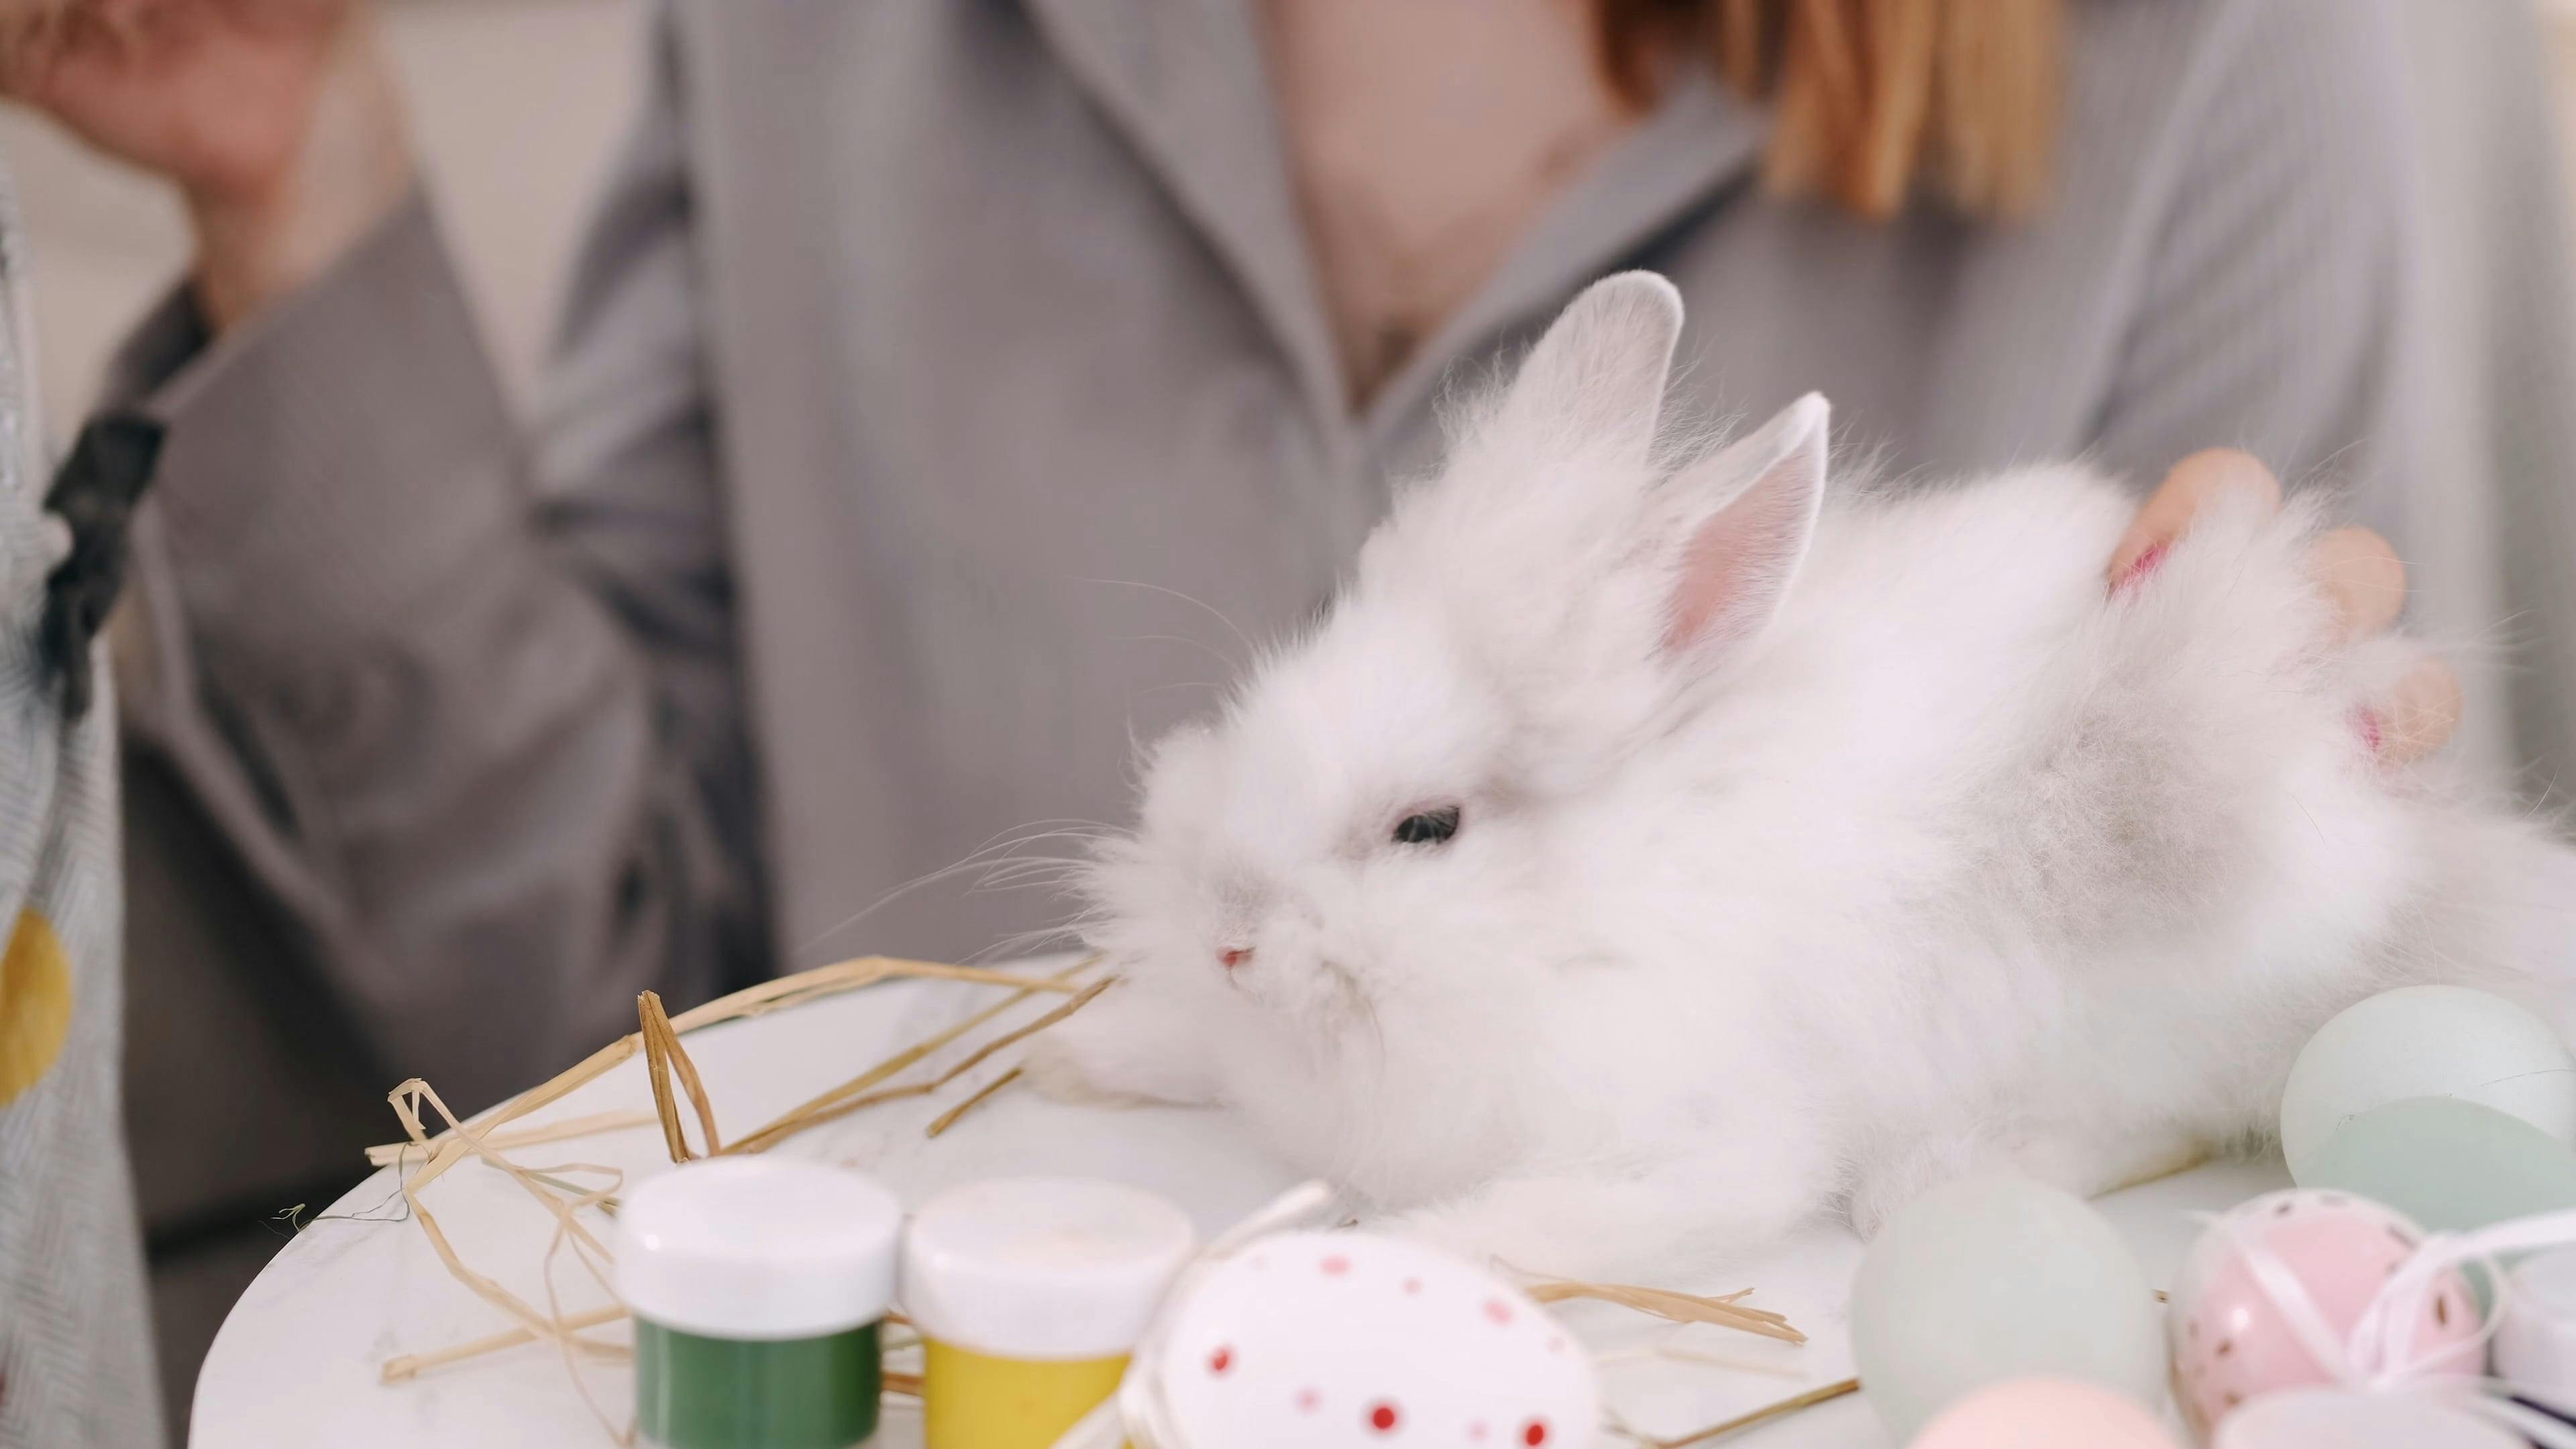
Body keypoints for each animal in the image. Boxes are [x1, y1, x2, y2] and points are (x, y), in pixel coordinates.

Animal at [1023, 272, 2576, 1283]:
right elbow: (1187, 1051)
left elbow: (1574, 1223)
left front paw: (1391, 1245)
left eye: (1427, 827)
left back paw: (1937, 1181)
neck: (1570, 914)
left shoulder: (1703, 1143)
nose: (1229, 937)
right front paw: (1088, 1055)